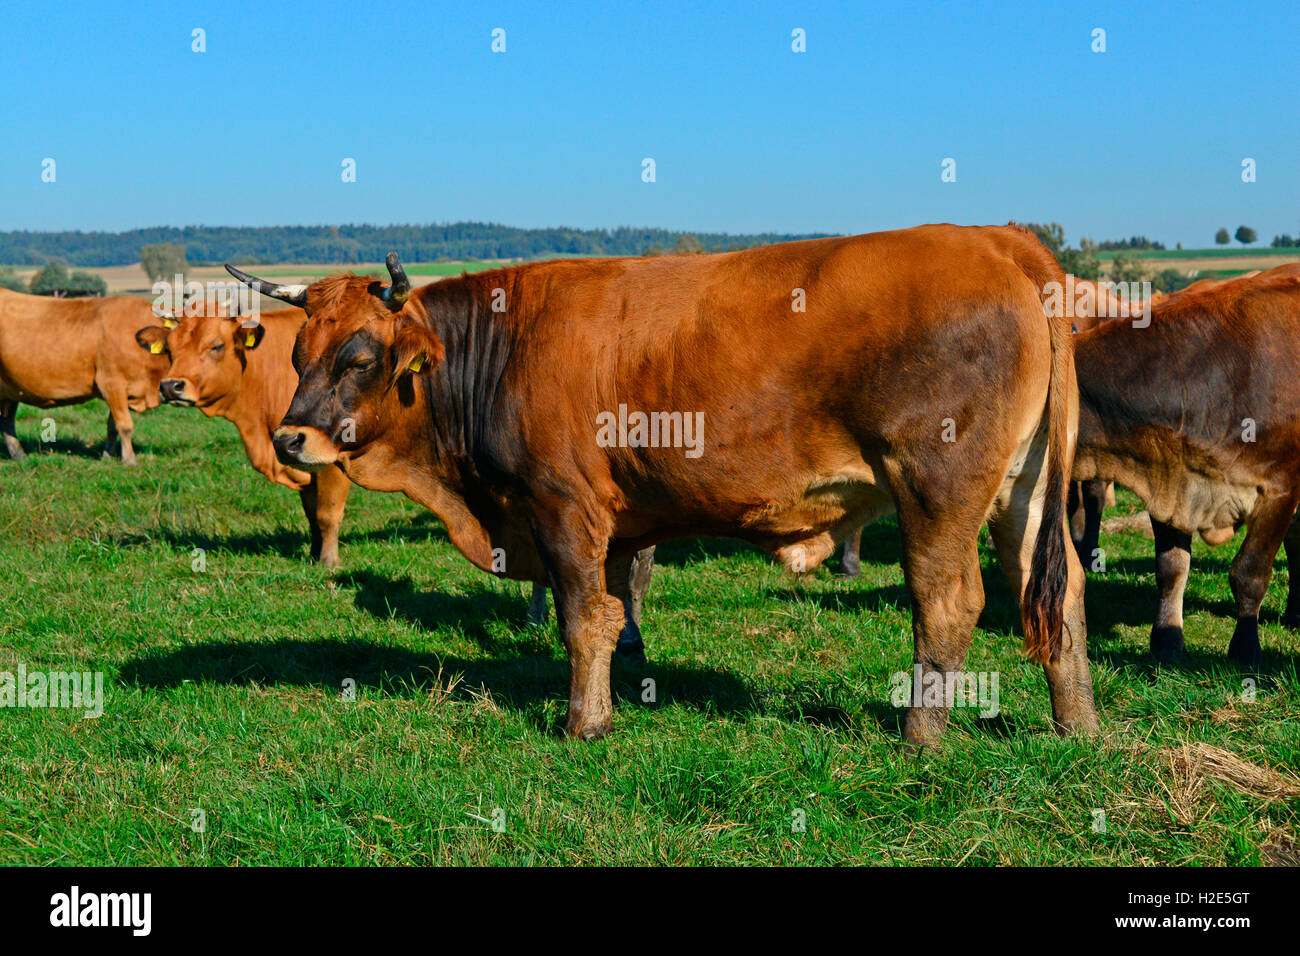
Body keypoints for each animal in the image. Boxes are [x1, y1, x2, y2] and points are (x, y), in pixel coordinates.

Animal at [0, 287, 170, 464]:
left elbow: (112, 426)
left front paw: (108, 456)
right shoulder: (111, 383)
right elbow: (124, 425)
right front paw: (129, 461)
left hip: (11, 388)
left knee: (6, 421)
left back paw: (20, 456)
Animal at [133, 302, 352, 566]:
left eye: (216, 346)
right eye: (169, 349)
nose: (170, 387)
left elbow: (327, 514)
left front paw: (329, 562)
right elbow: (311, 514)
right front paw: (313, 555)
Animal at [227, 223, 1099, 745]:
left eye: (360, 358)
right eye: (299, 351)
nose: (290, 437)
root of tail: (998, 241)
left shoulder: (562, 507)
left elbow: (584, 620)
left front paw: (585, 724)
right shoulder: (614, 524)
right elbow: (618, 613)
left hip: (937, 489)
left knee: (948, 603)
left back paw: (920, 735)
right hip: (1023, 493)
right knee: (1058, 596)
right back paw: (1078, 724)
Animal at [1071, 263, 1300, 668]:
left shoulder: (1279, 489)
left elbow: (1250, 572)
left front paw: (1245, 649)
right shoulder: (1169, 479)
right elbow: (1171, 567)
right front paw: (1166, 638)